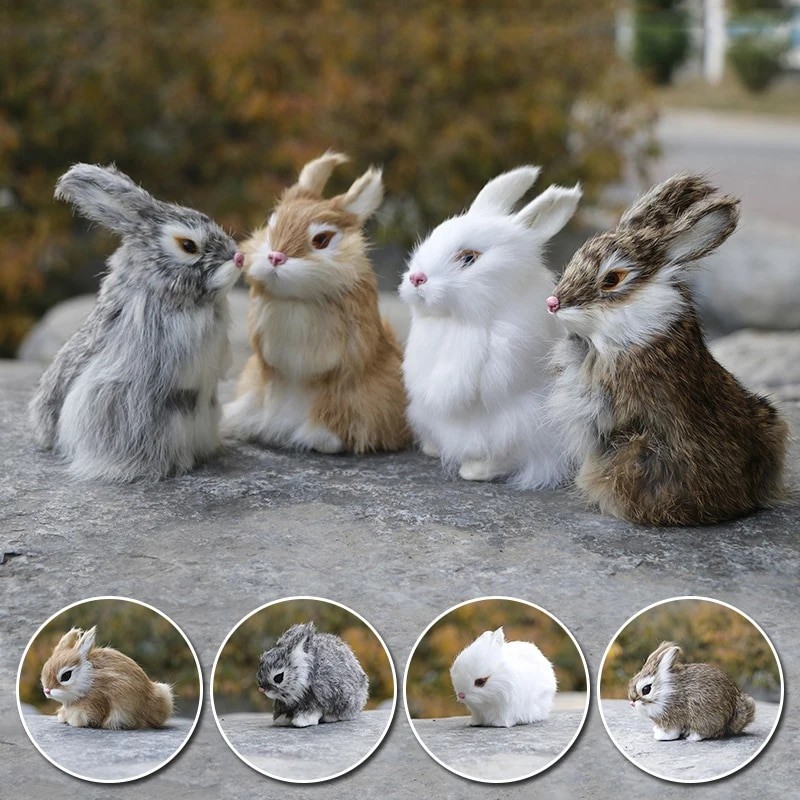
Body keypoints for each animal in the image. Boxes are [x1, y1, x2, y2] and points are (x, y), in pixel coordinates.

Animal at [223, 152, 410, 454]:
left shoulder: (343, 373)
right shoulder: (266, 366)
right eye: (271, 224)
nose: (276, 257)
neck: (297, 298)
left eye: (321, 240)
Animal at [628, 641, 756, 741]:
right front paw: (656, 730)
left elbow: (672, 731)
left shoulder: (673, 717)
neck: (665, 691)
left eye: (646, 689)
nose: (632, 702)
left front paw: (661, 737)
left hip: (702, 714)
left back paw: (692, 737)